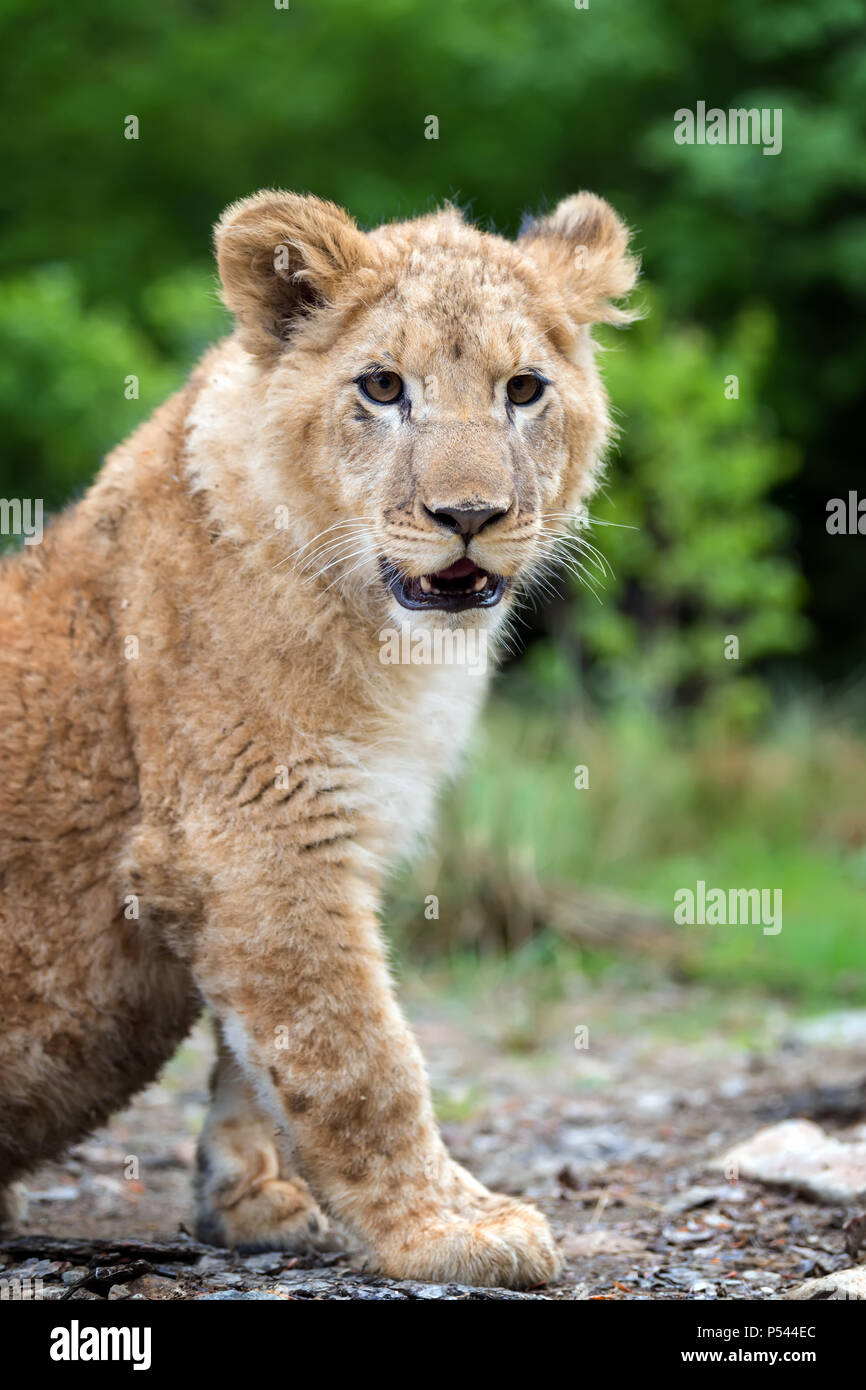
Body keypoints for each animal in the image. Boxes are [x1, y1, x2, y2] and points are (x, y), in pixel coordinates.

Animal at [0, 189, 637, 1287]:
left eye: (523, 390)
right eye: (382, 387)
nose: (469, 515)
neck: (386, 638)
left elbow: (258, 1060)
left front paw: (248, 1204)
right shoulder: (255, 840)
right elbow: (359, 1055)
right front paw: (448, 1228)